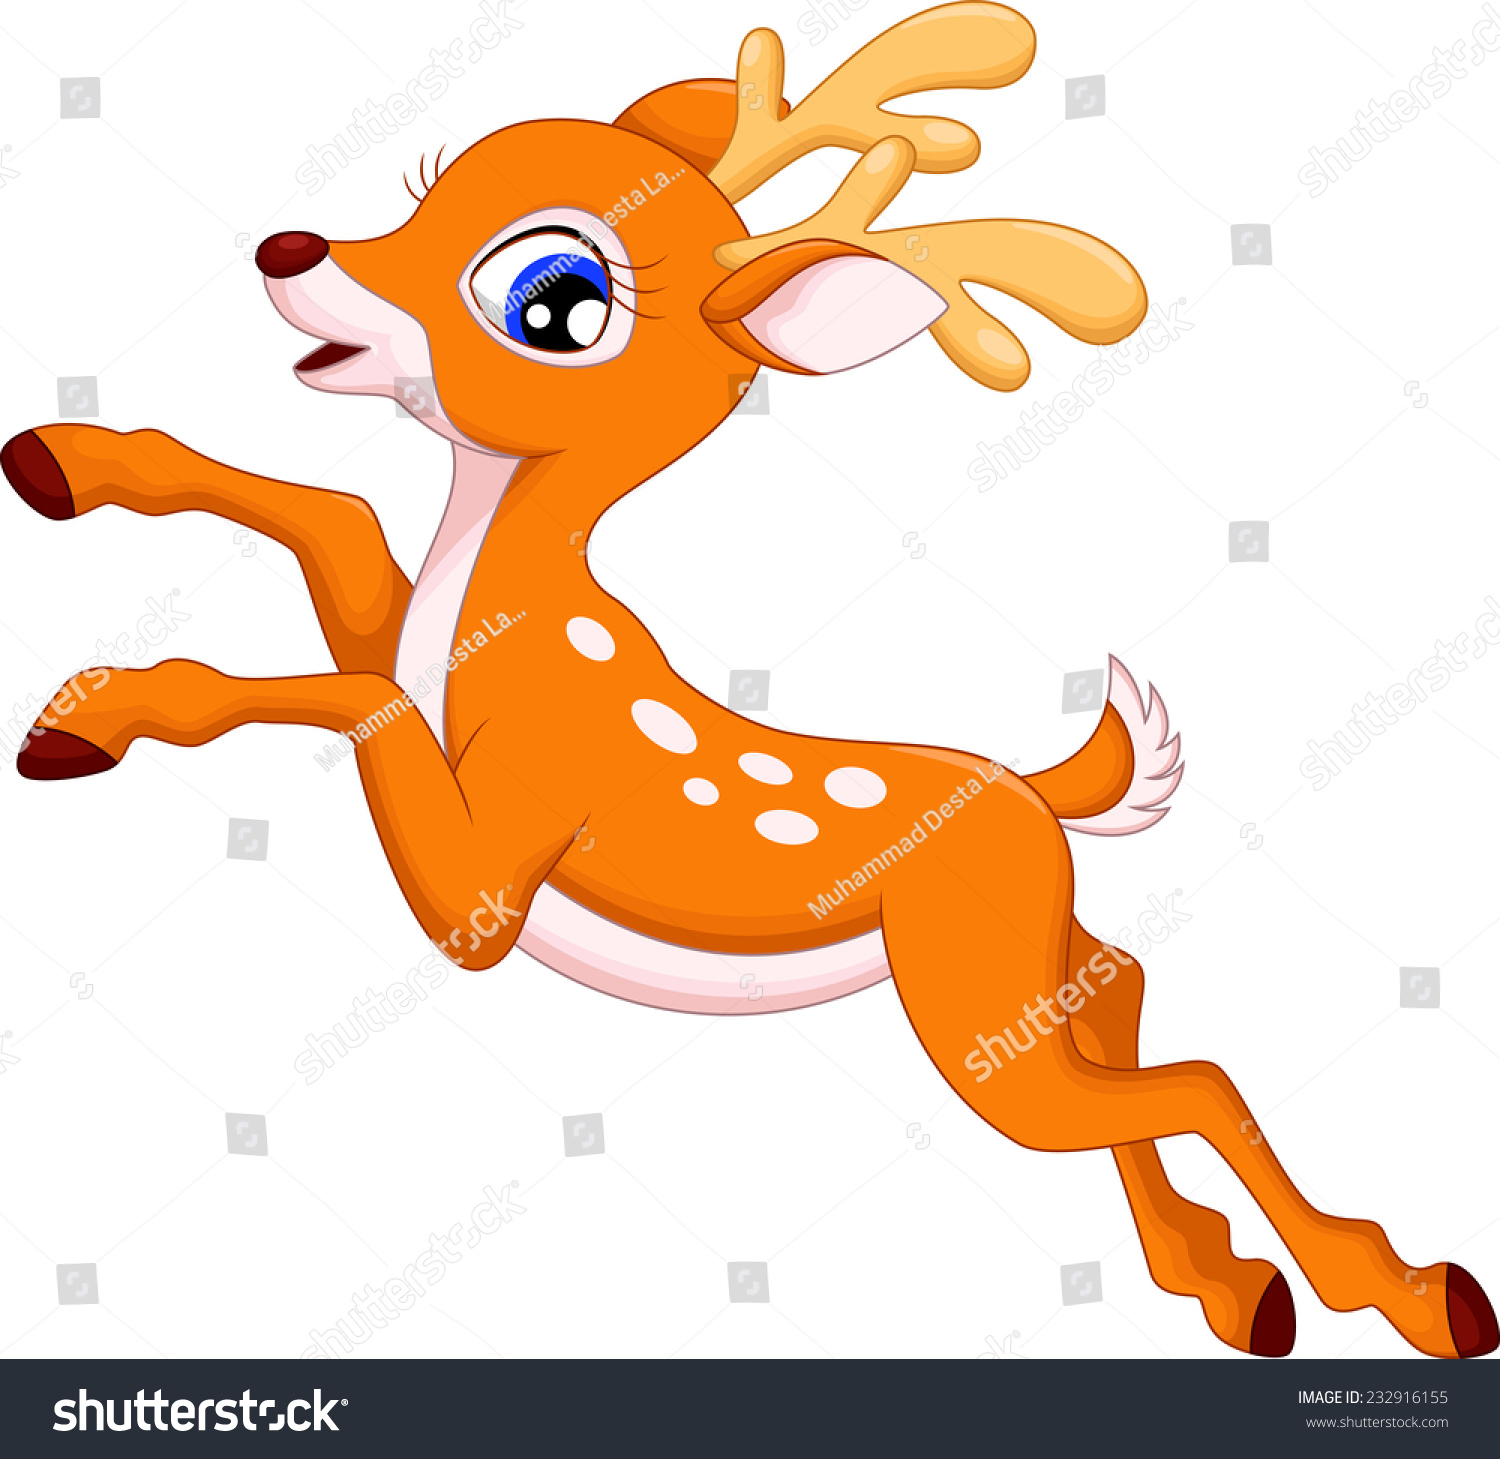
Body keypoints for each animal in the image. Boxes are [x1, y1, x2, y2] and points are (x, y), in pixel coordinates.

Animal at [3, 3, 1493, 1360]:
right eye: (421, 190)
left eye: (553, 302)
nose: (288, 249)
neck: (504, 617)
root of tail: (1031, 787)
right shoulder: (401, 634)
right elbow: (334, 523)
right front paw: (64, 465)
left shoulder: (491, 888)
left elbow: (347, 687)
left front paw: (87, 716)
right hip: (1026, 969)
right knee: (1125, 992)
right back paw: (1236, 1286)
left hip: (969, 1007)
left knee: (1193, 1078)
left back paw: (1415, 1296)